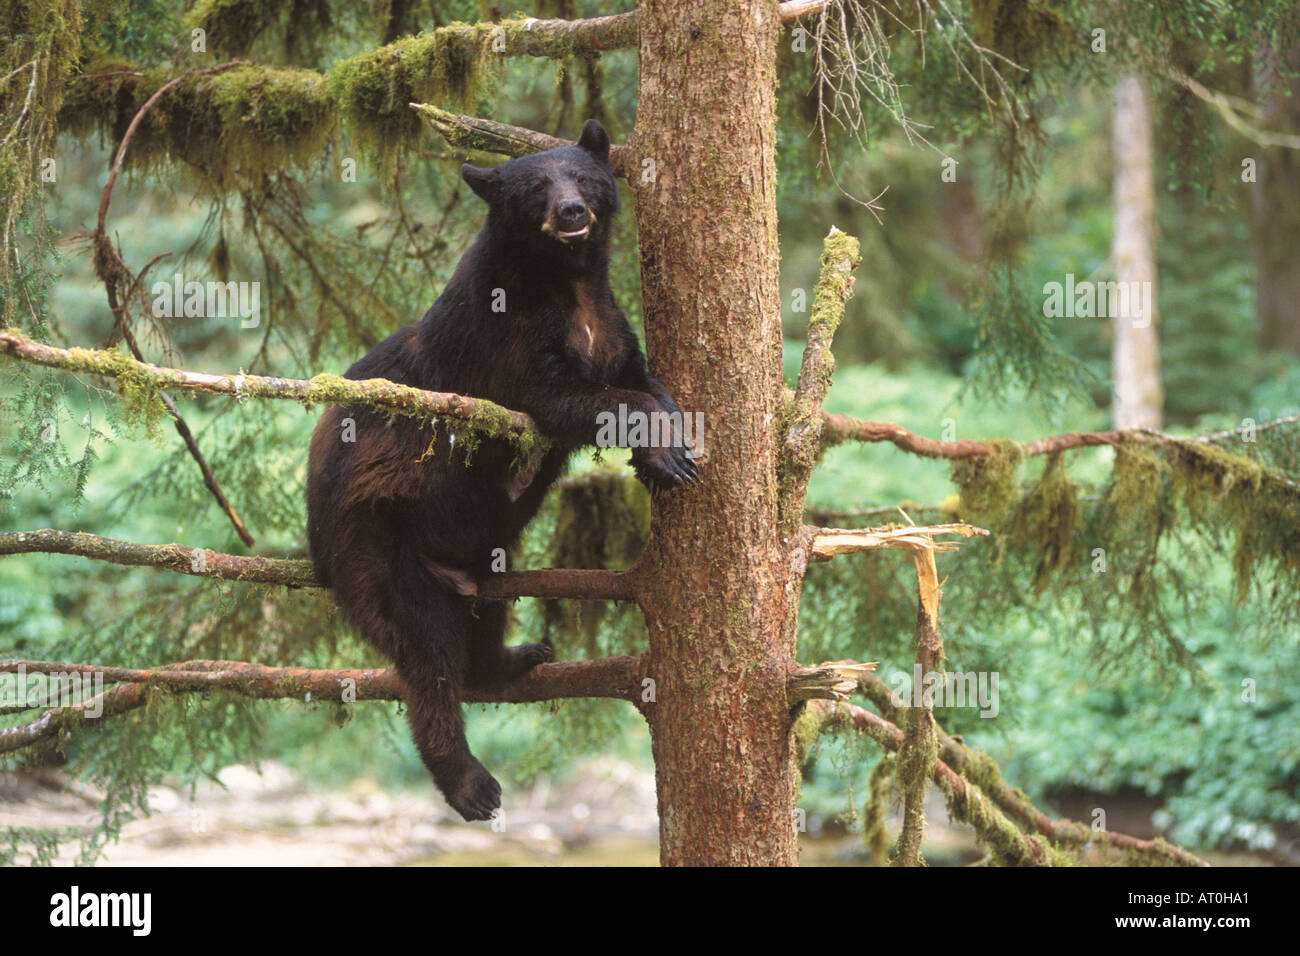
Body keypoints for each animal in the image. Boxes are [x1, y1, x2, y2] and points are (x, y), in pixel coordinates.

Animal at [306, 119, 697, 822]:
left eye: (583, 176)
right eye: (535, 187)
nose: (571, 212)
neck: (568, 284)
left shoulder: (610, 323)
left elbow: (646, 378)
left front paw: (671, 450)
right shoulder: (505, 339)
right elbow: (567, 396)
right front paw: (661, 448)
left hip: (483, 548)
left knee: (487, 610)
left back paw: (514, 656)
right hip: (376, 543)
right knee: (427, 656)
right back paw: (469, 782)